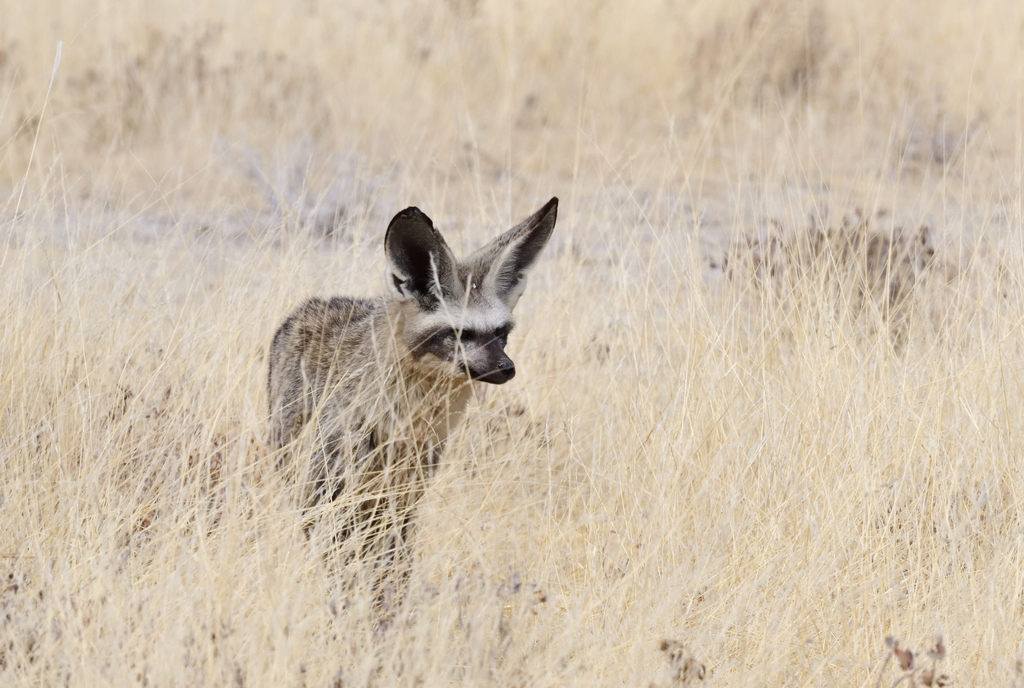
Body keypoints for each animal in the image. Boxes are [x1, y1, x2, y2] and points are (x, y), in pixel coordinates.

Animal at [268, 197, 558, 562]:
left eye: (500, 334)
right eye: (460, 334)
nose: (506, 368)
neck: (414, 410)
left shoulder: (409, 485)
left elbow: (396, 551)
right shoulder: (334, 477)